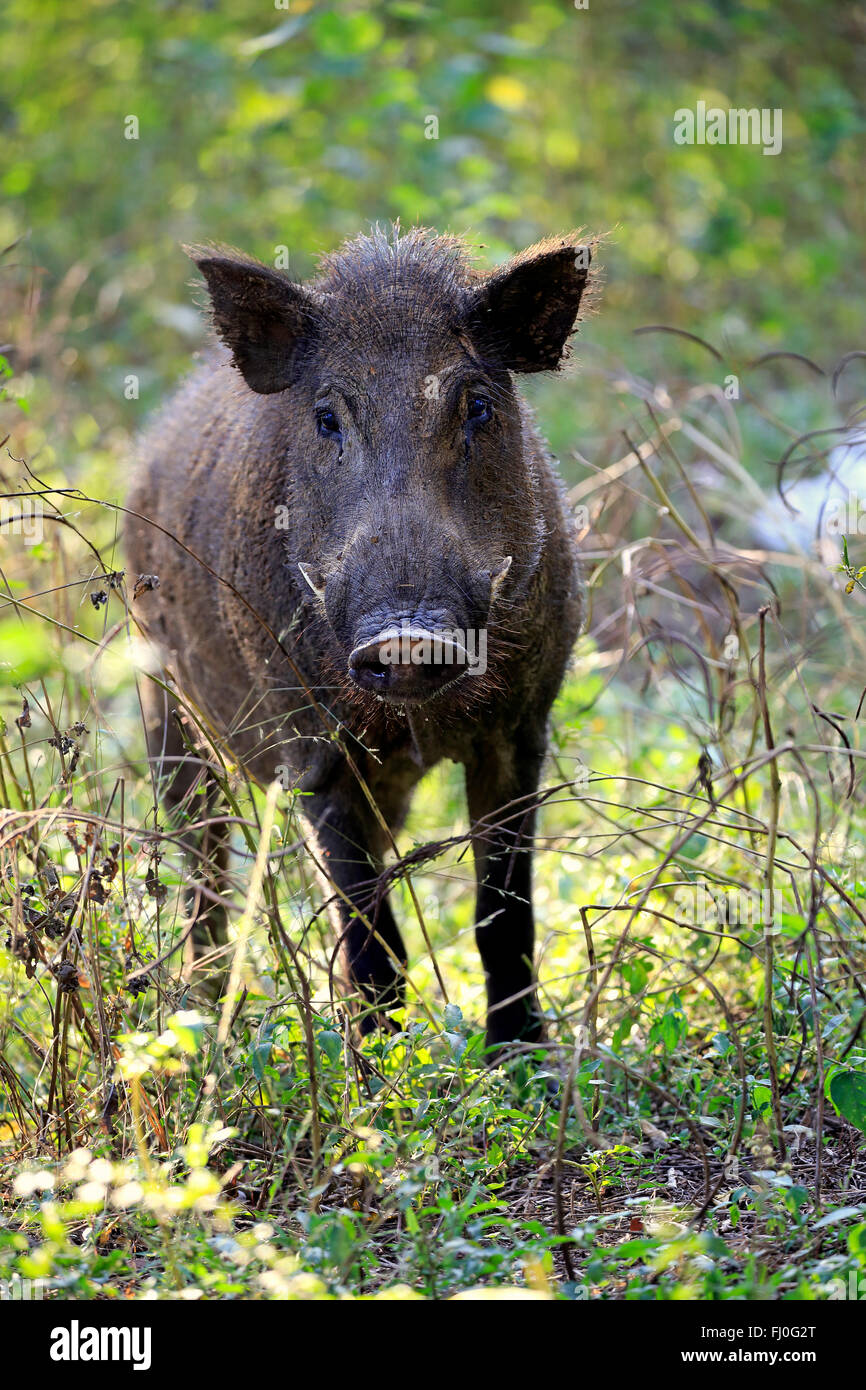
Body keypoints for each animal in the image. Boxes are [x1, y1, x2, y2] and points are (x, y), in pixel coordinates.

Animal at [125, 225, 595, 1052]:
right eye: (326, 418)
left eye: (478, 405)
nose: (406, 634)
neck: (422, 720)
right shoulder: (314, 751)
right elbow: (372, 942)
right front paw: (382, 1069)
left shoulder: (520, 730)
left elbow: (503, 916)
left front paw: (524, 1058)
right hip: (164, 706)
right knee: (201, 864)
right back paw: (205, 1016)